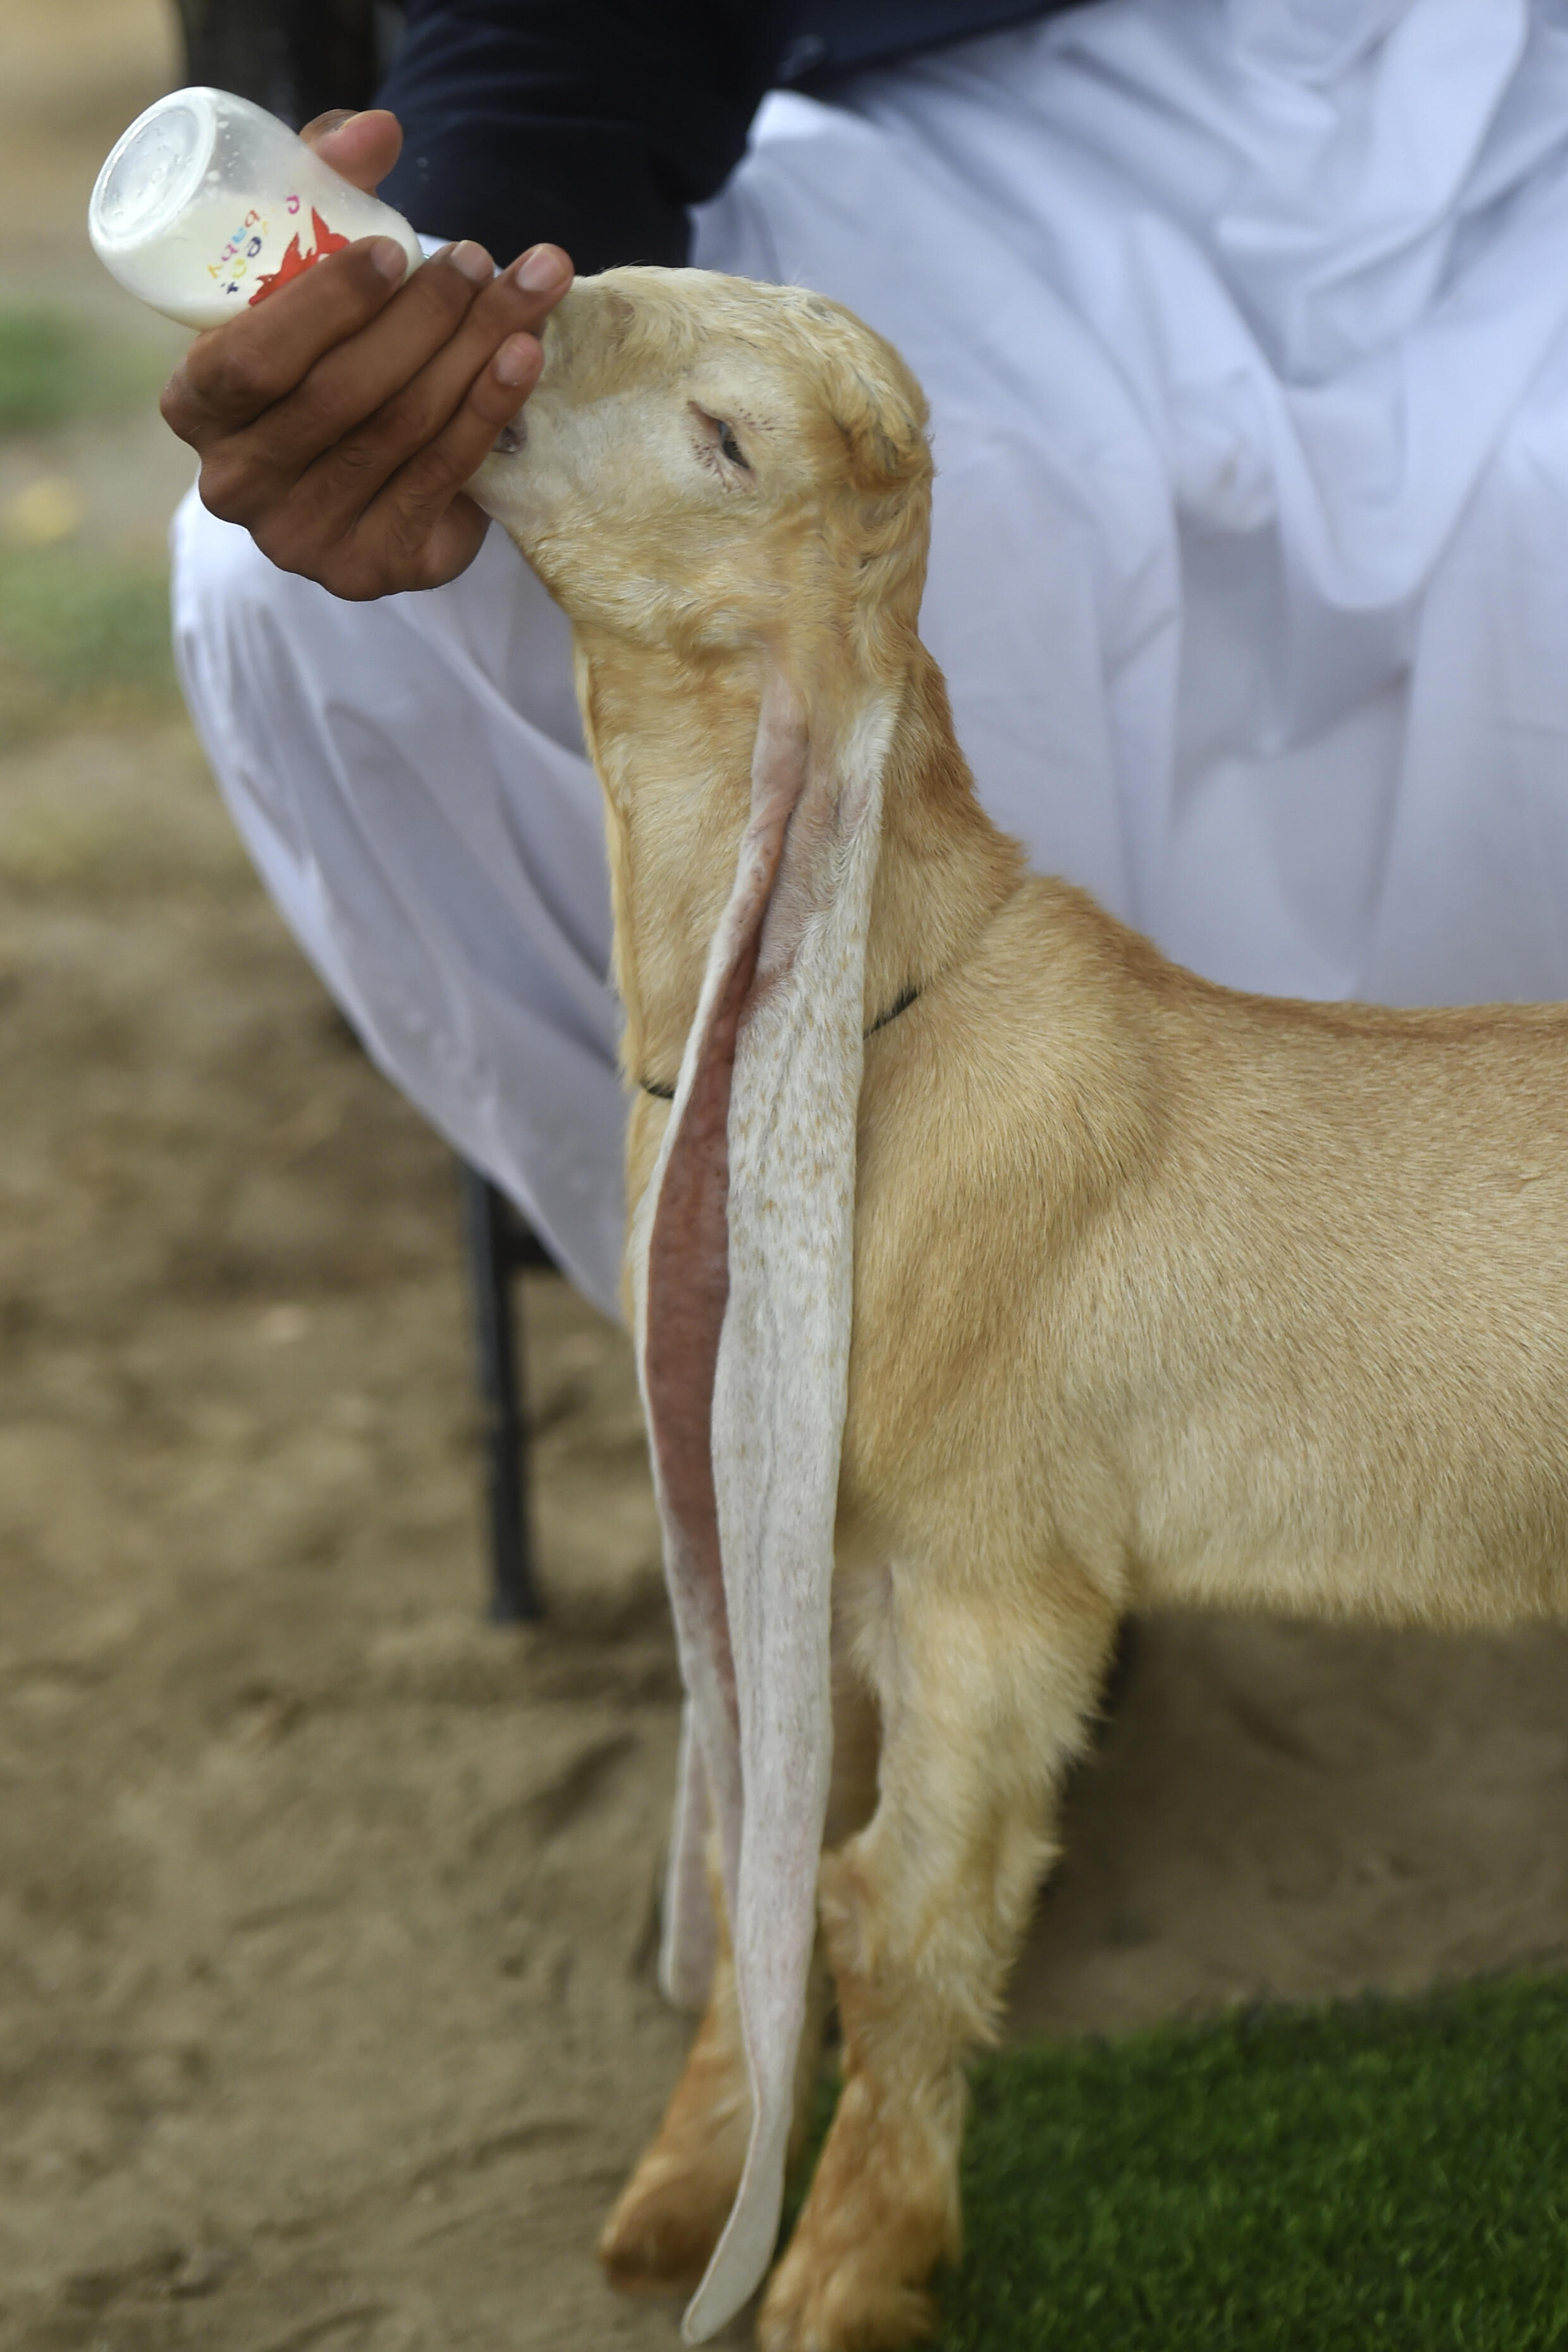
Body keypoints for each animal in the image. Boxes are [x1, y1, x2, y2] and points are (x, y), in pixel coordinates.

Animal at [472, 266, 1568, 2351]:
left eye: (724, 433)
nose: (499, 318)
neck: (877, 1034)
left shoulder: (997, 1577)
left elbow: (893, 1914)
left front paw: (841, 2276)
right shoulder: (807, 1538)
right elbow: (758, 1851)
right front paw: (681, 2197)